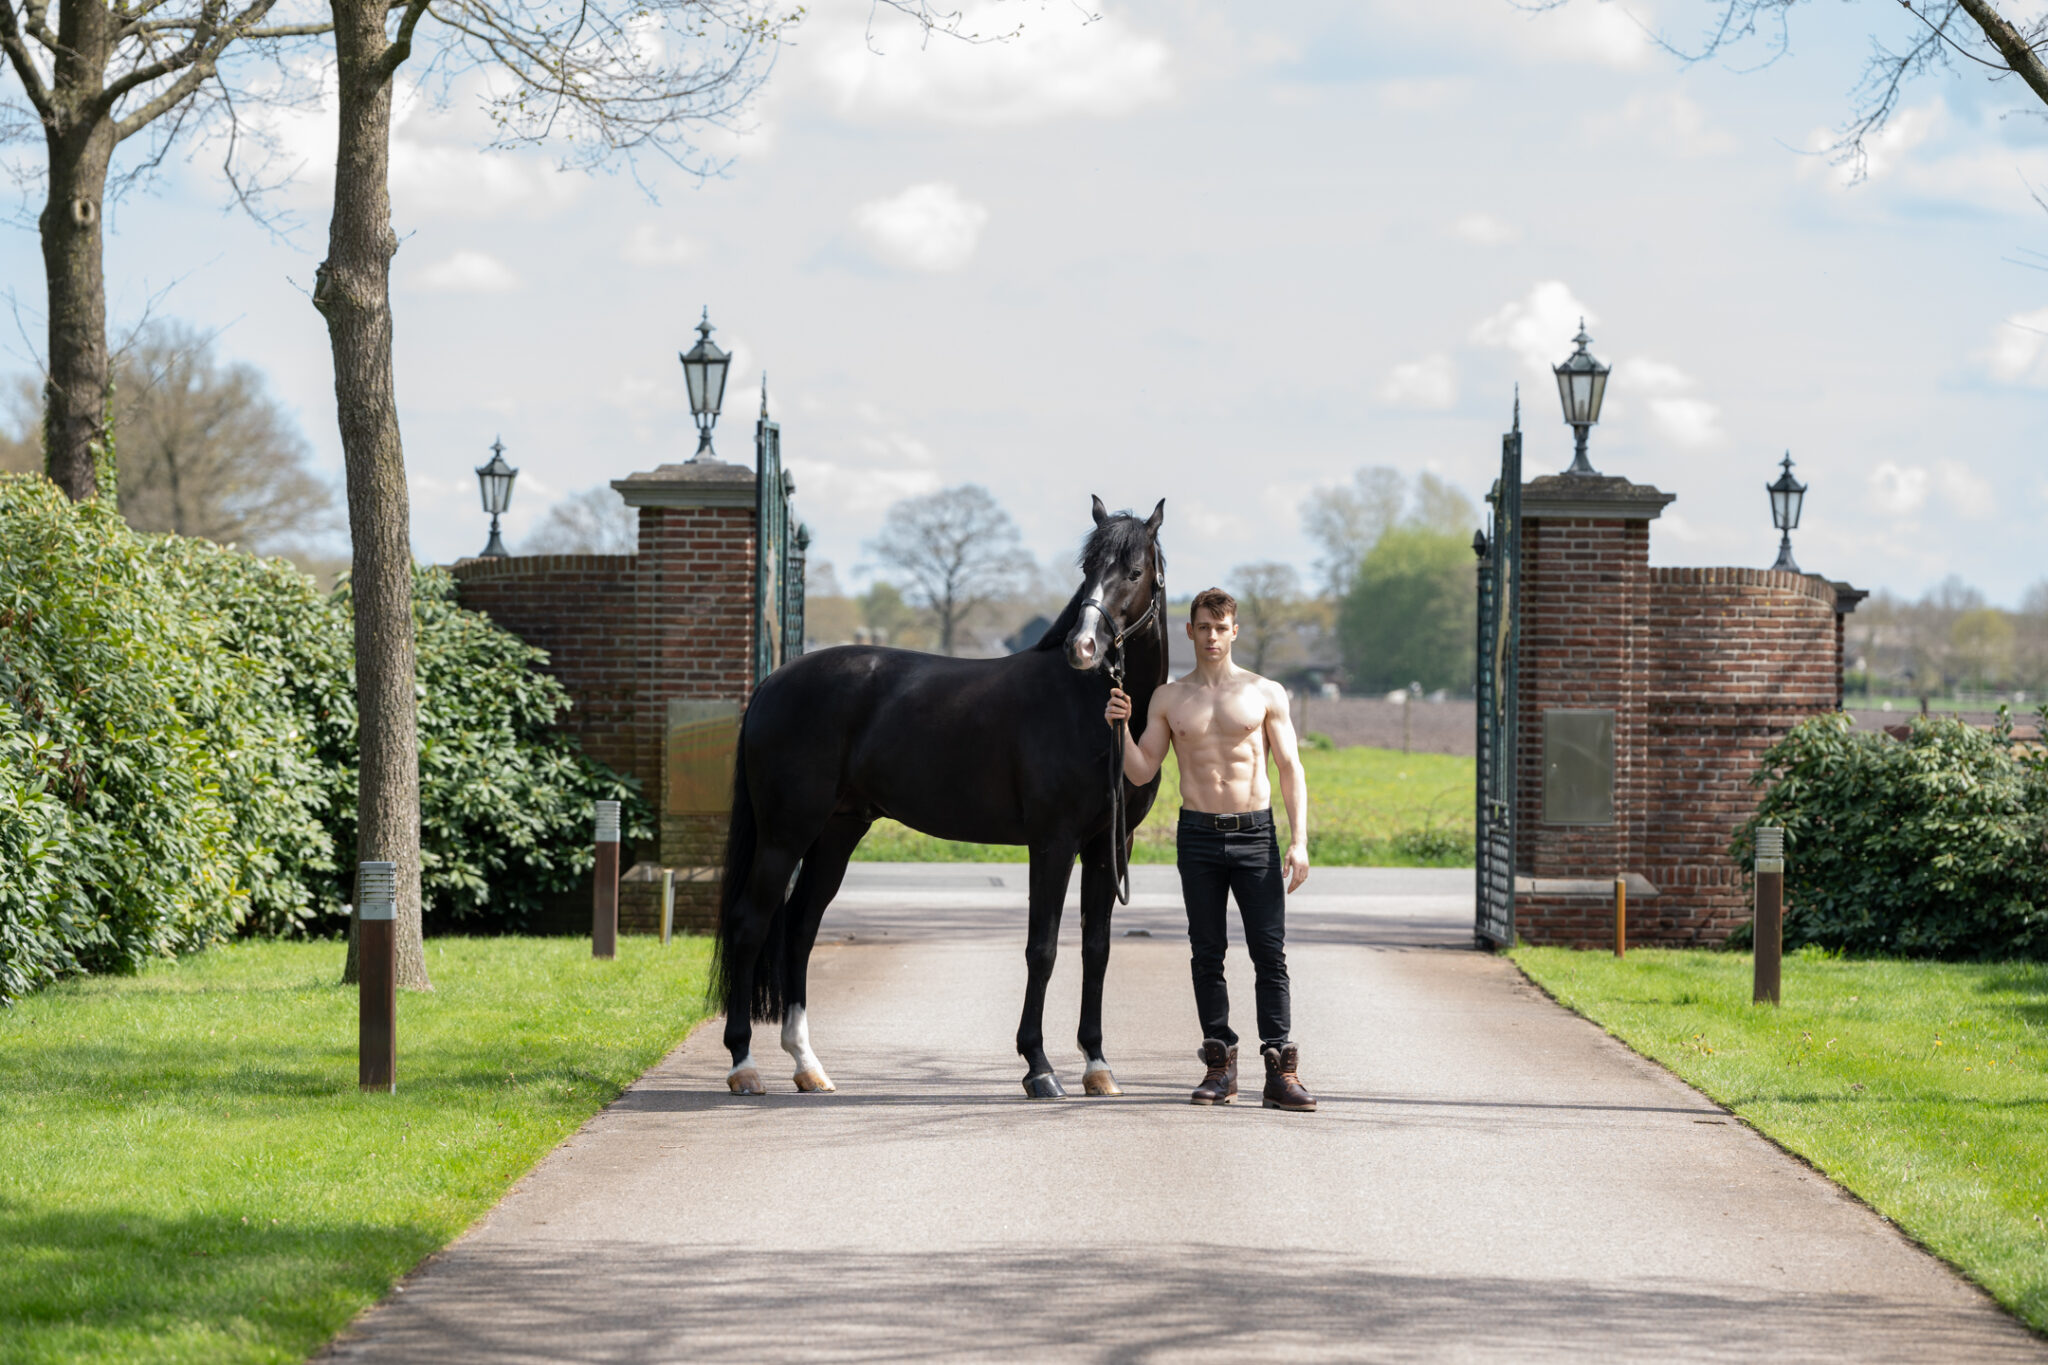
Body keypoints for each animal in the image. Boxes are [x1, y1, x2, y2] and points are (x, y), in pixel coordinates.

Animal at [712, 496, 1171, 1099]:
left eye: (1135, 572)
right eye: (1087, 569)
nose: (1084, 647)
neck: (1090, 711)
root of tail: (772, 683)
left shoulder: (1106, 845)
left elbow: (1096, 949)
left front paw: (1098, 1066)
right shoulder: (1053, 842)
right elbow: (1042, 949)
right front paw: (1038, 1067)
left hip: (837, 831)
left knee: (800, 927)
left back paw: (808, 1065)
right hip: (785, 834)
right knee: (751, 924)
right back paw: (744, 1065)